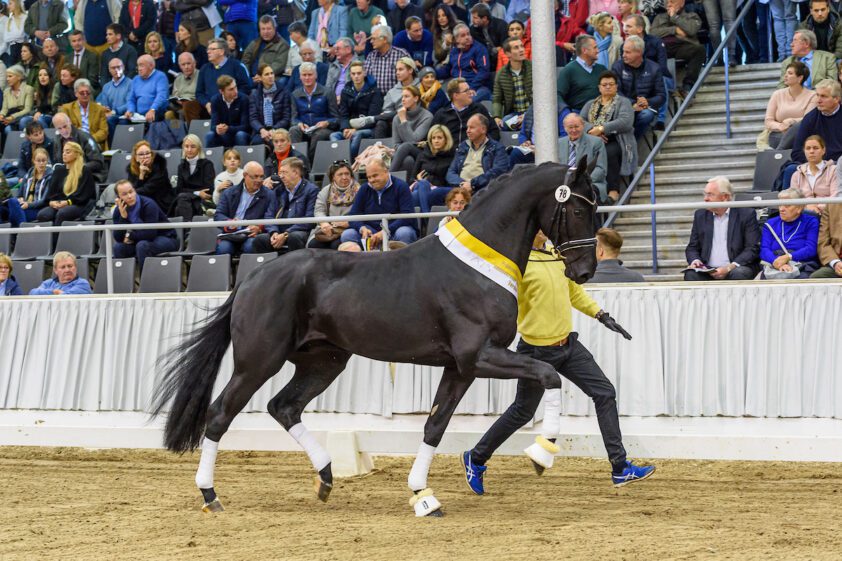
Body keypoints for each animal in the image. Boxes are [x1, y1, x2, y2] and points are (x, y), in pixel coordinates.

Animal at [152, 159, 601, 517]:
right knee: (220, 413)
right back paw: (210, 495)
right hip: (259, 361)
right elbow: (548, 374)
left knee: (284, 406)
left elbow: (435, 425)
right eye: (579, 207)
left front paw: (423, 496)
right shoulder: (479, 356)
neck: (479, 265)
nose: (585, 270)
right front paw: (542, 454)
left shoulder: (460, 367)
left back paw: (325, 478)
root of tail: (251, 277)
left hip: (324, 362)